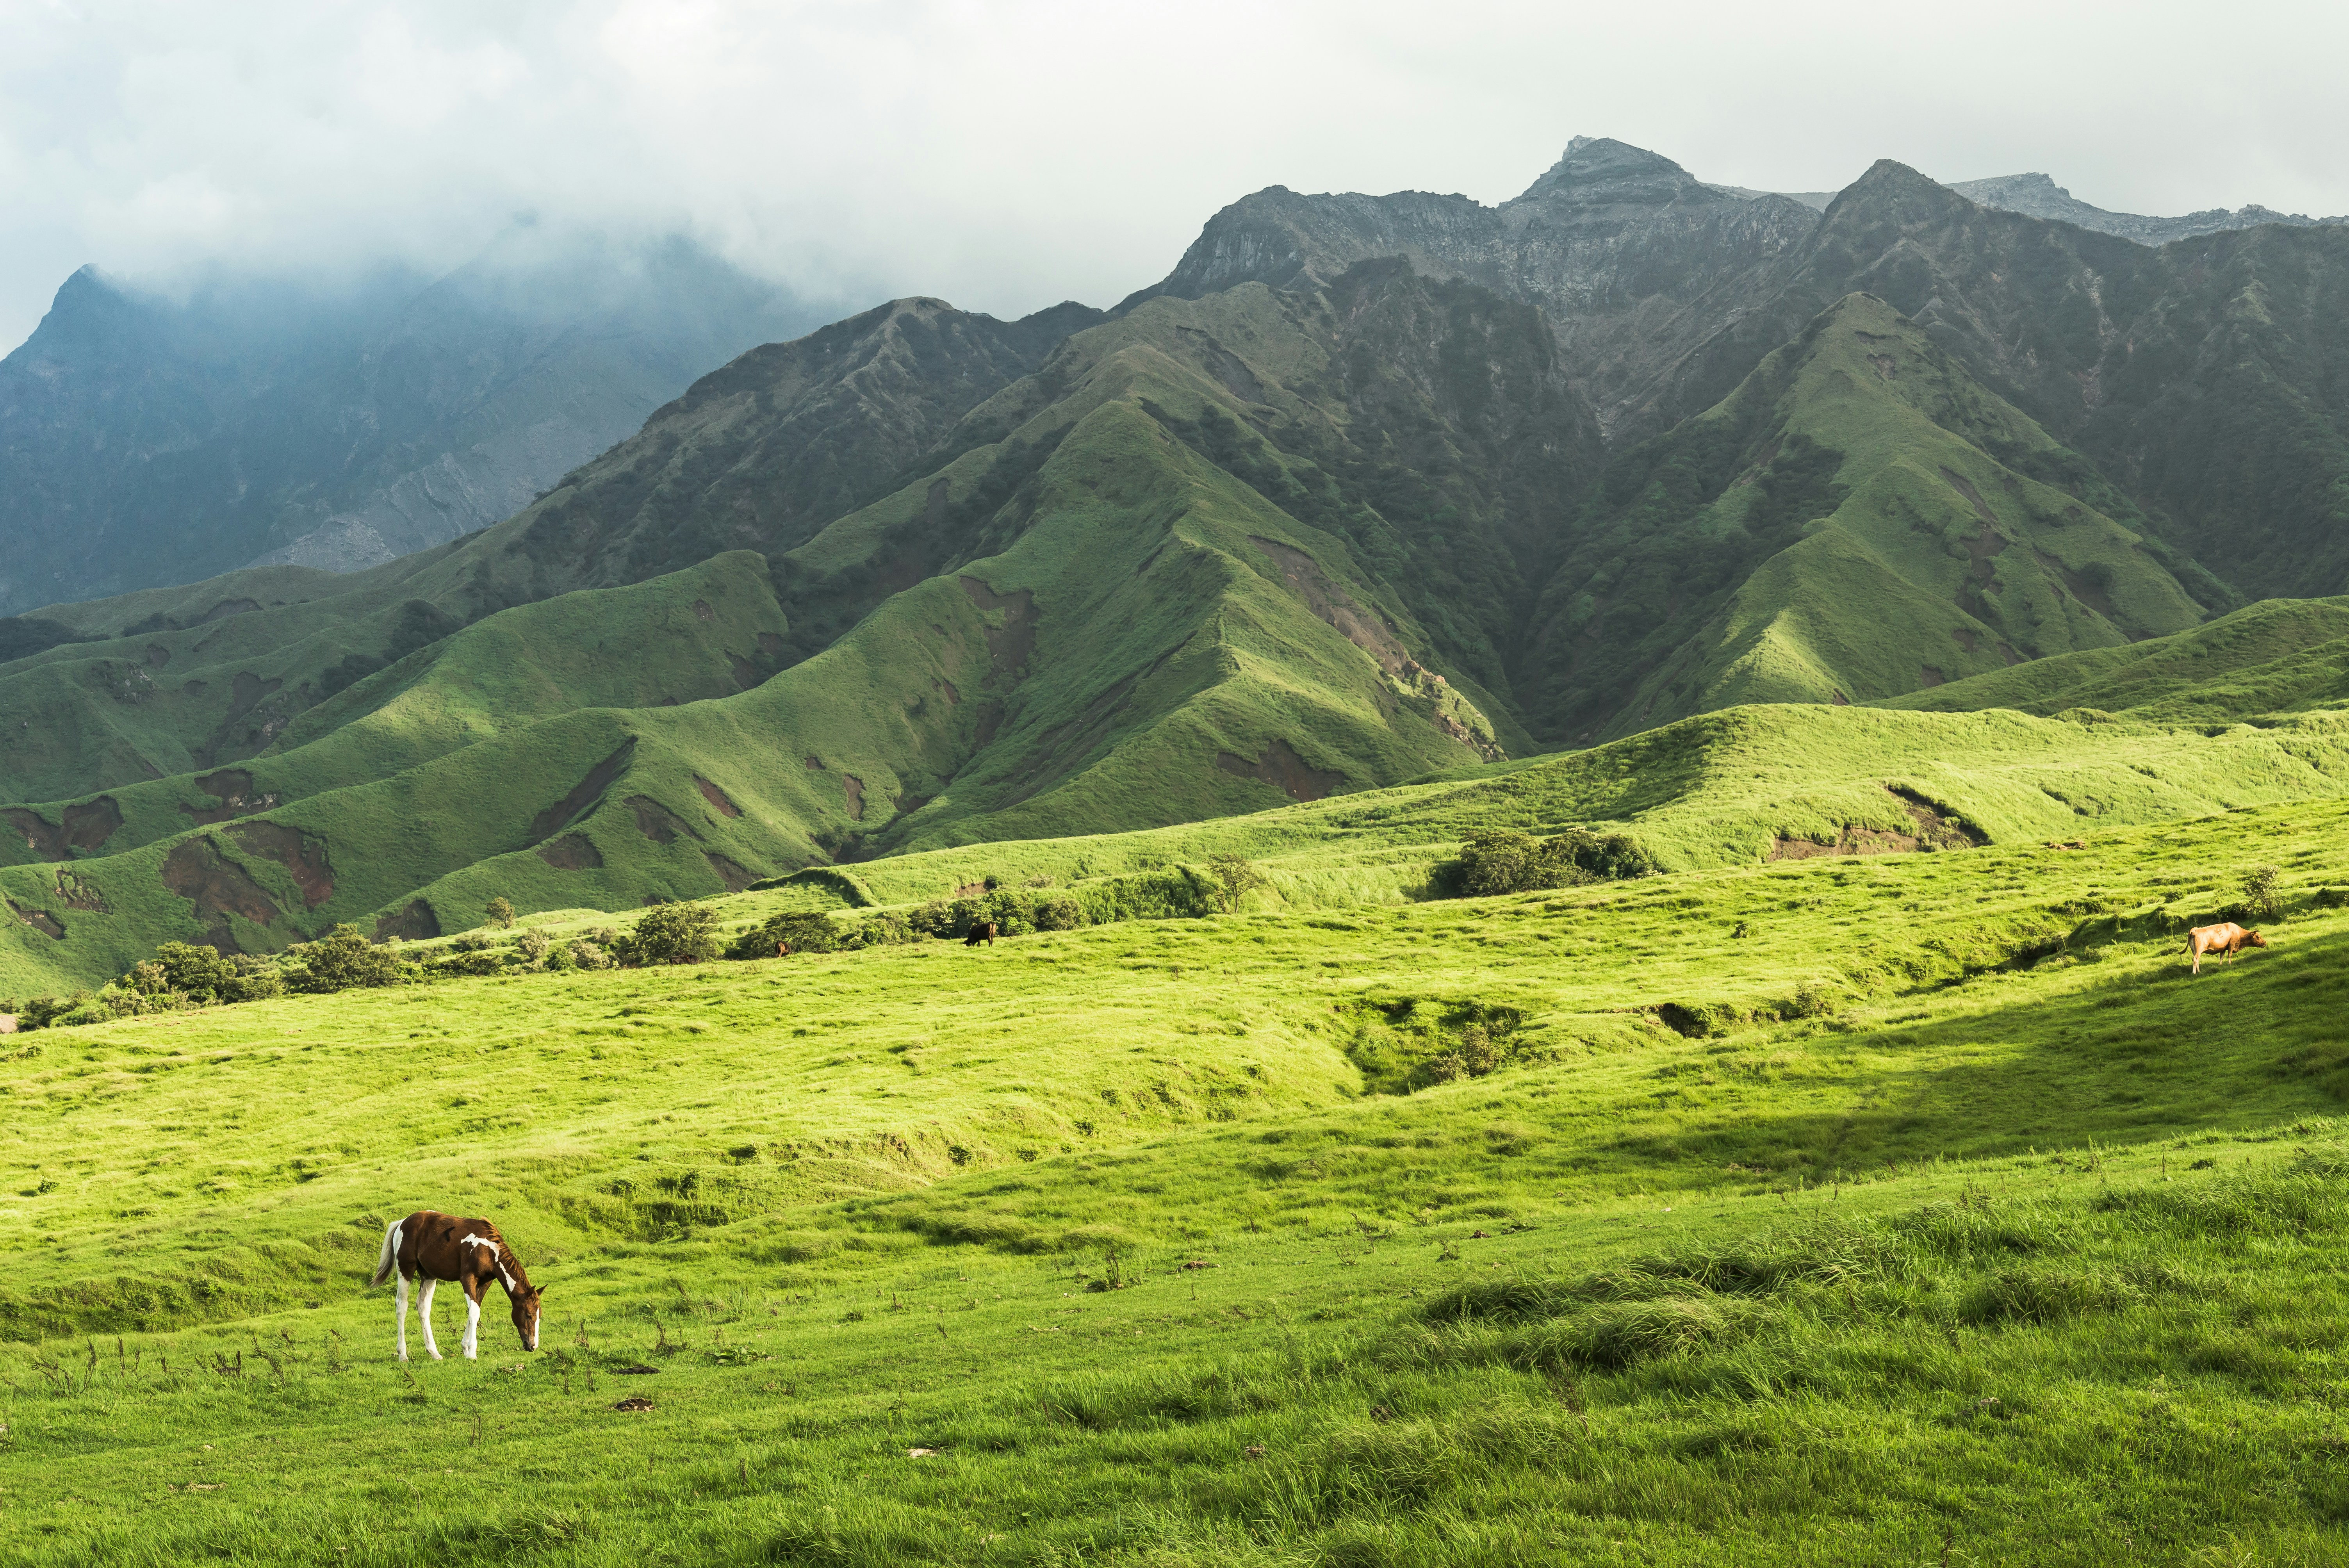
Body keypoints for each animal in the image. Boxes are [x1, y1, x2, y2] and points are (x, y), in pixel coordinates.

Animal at [371, 1210, 543, 1361]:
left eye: (539, 1315)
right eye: (529, 1315)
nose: (533, 1346)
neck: (489, 1251)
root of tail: (402, 1223)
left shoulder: (485, 1282)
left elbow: (475, 1310)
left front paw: (466, 1348)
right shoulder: (468, 1278)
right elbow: (474, 1312)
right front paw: (472, 1352)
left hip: (429, 1275)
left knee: (423, 1307)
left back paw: (435, 1353)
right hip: (405, 1270)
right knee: (402, 1306)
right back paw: (403, 1355)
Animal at [2184, 922, 2268, 975]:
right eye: (2259, 937)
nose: (2265, 943)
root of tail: (2195, 929)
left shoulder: (2224, 948)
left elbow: (2222, 957)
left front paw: (2220, 965)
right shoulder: (2232, 944)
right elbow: (2230, 955)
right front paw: (2230, 964)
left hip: (2195, 951)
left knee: (2197, 961)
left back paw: (2199, 972)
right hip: (2198, 951)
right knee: (2195, 960)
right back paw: (2194, 973)